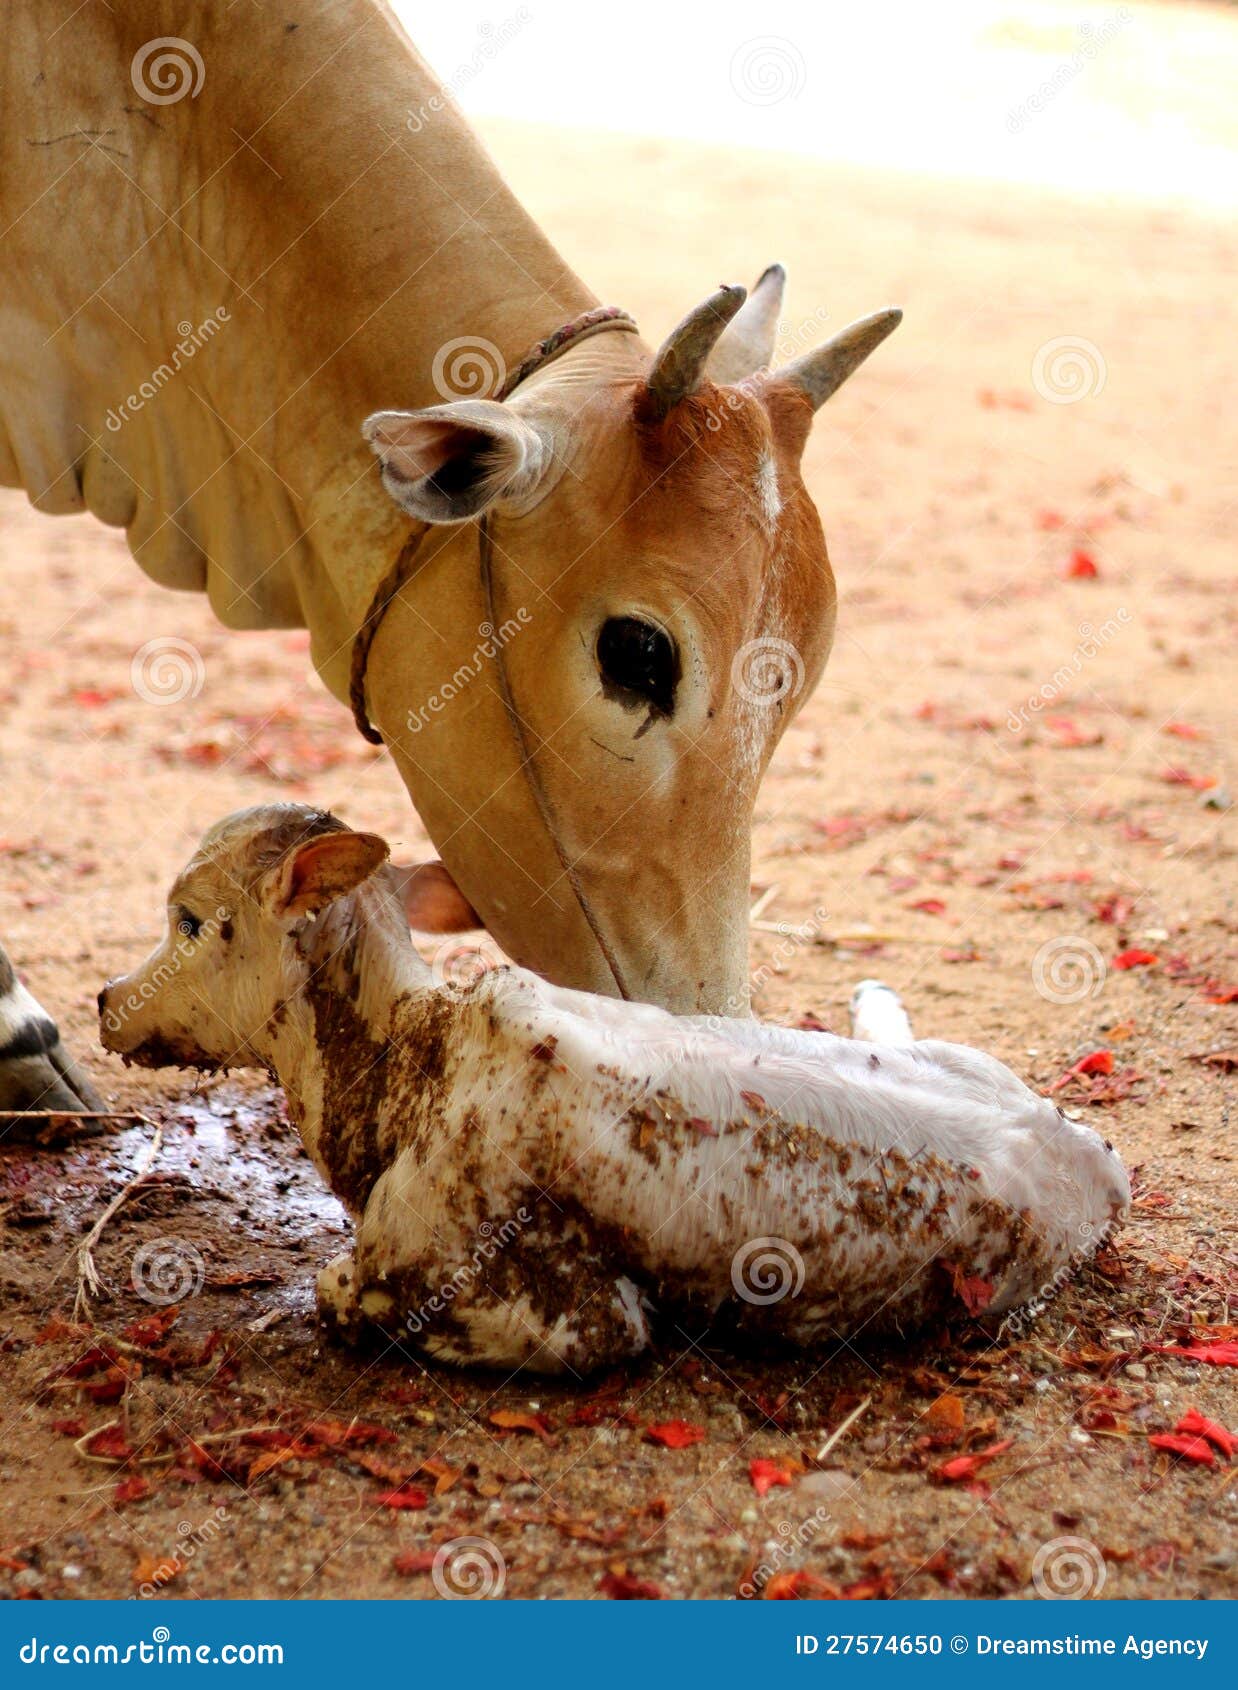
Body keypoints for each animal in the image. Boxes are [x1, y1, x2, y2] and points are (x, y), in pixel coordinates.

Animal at [98, 805, 1130, 1373]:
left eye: (189, 919)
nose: (106, 999)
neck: (405, 1058)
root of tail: (1095, 1159)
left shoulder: (532, 1298)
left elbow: (336, 1293)